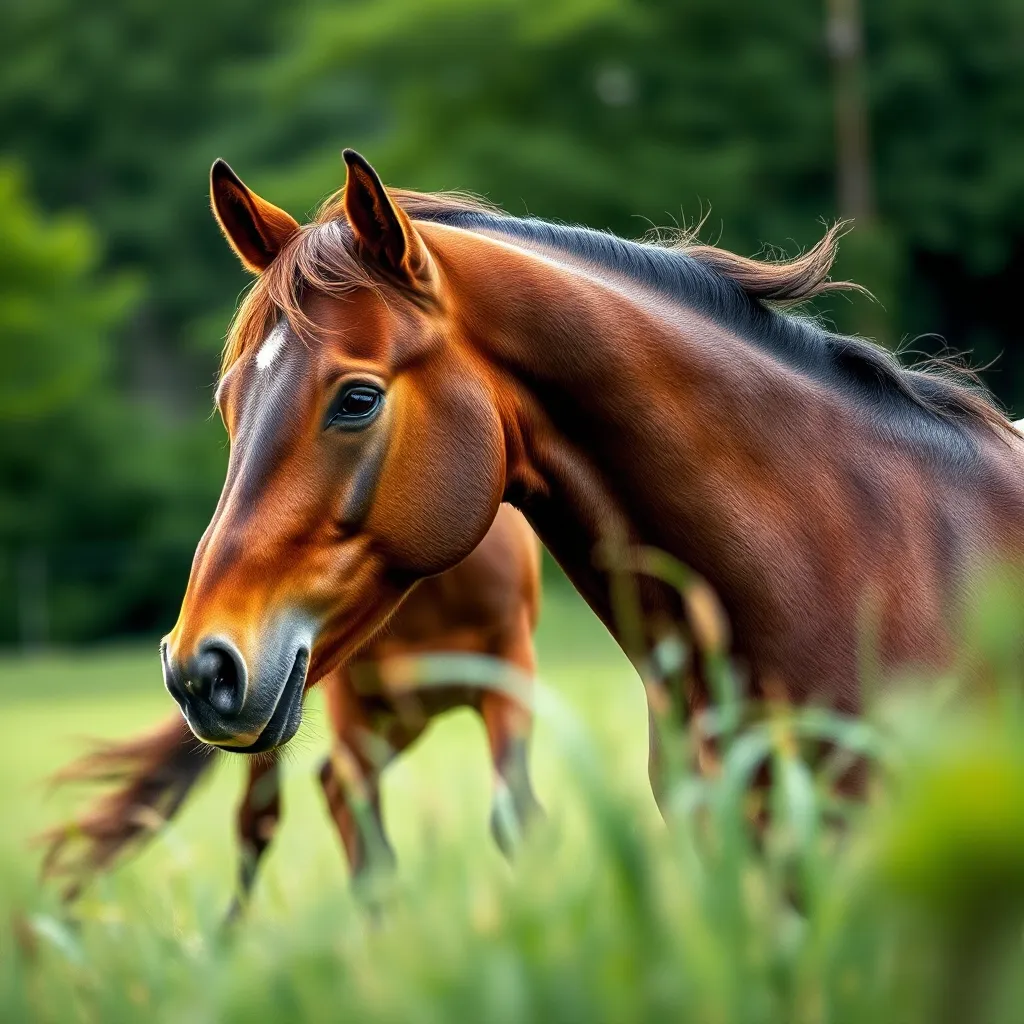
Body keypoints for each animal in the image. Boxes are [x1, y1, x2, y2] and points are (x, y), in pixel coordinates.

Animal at [41, 504, 542, 909]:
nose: (201, 664)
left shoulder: (509, 665)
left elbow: (516, 815)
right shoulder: (332, 692)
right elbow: (369, 845)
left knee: (326, 787)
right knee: (263, 819)